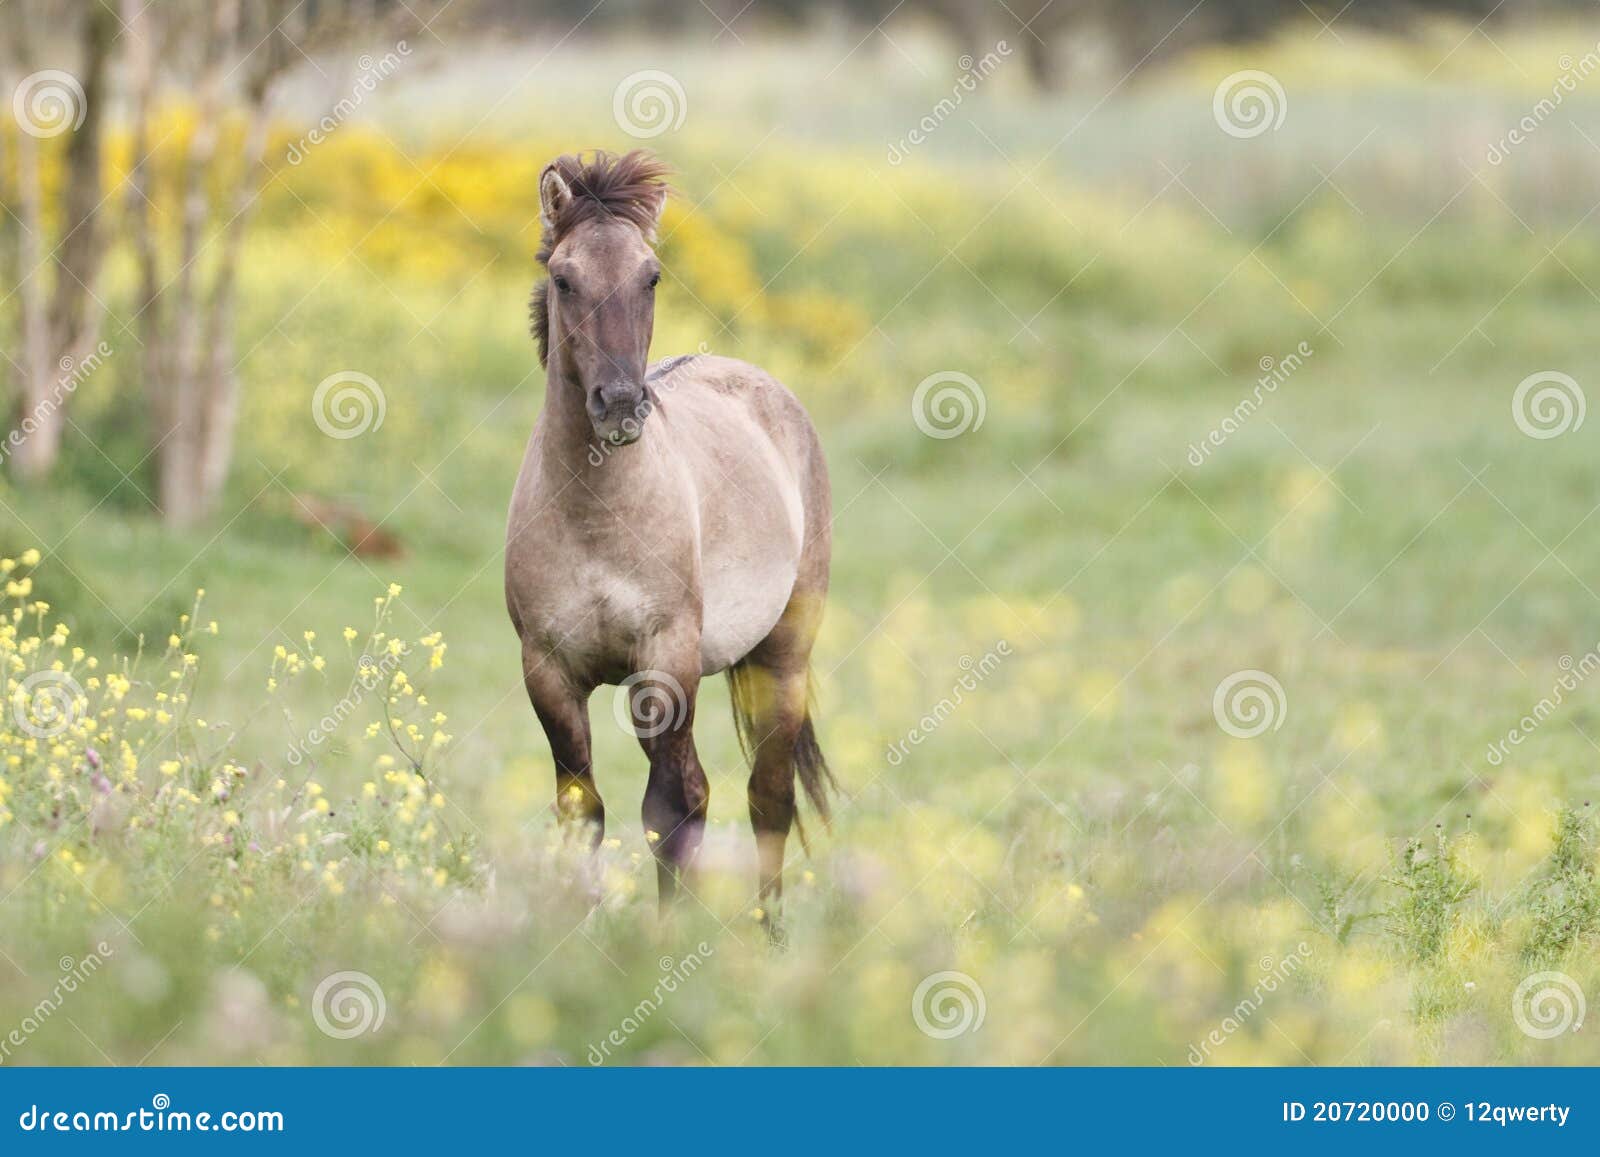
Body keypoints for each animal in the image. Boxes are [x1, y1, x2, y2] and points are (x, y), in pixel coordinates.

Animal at [504, 150, 836, 922]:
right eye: (564, 278)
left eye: (650, 276)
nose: (621, 404)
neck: (596, 520)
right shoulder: (548, 673)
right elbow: (581, 808)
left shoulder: (665, 661)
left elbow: (671, 808)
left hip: (783, 656)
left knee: (765, 797)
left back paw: (768, 932)